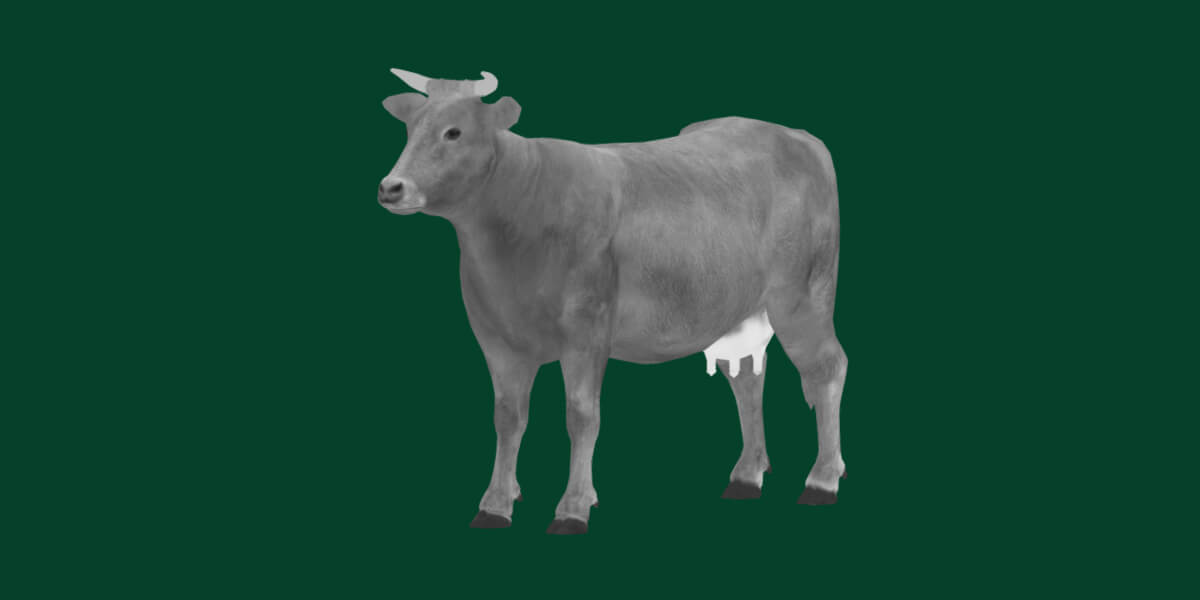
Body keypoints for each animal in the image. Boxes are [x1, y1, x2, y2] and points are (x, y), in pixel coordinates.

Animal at [378, 69, 847, 535]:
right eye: (409, 128)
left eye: (454, 131)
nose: (390, 187)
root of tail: (796, 135)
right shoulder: (497, 336)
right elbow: (508, 417)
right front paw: (496, 504)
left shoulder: (587, 331)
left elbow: (582, 415)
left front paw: (573, 508)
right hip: (739, 308)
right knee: (747, 376)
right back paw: (747, 475)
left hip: (802, 295)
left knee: (826, 367)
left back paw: (822, 480)